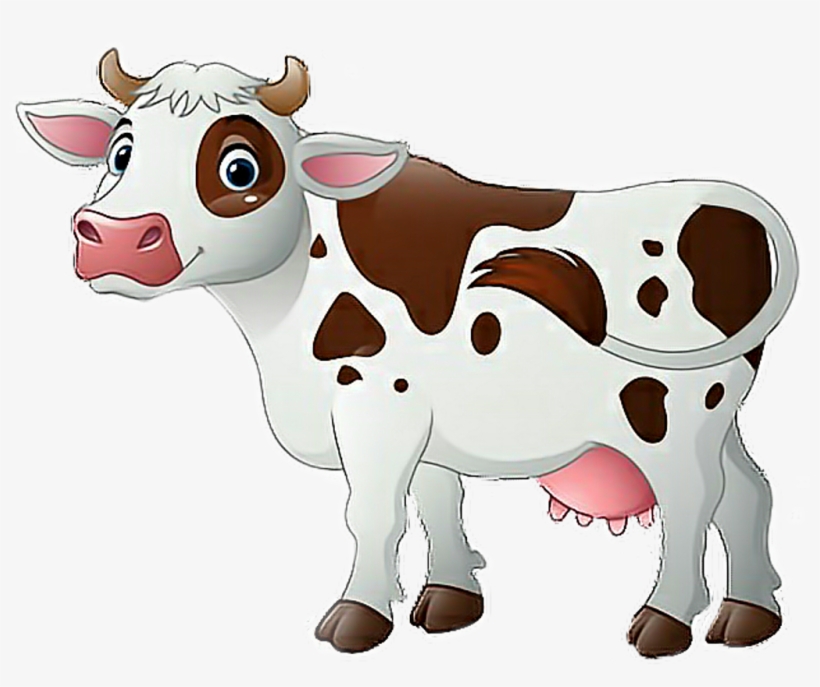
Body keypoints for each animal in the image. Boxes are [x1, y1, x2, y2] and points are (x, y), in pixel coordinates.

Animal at [17, 50, 798, 658]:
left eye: (240, 167)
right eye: (120, 152)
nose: (117, 239)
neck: (285, 319)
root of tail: (727, 201)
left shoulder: (374, 402)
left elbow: (373, 511)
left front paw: (357, 616)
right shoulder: (421, 416)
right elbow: (436, 497)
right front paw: (451, 601)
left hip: (670, 412)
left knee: (692, 498)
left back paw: (664, 621)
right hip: (714, 410)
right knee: (747, 491)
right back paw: (748, 617)